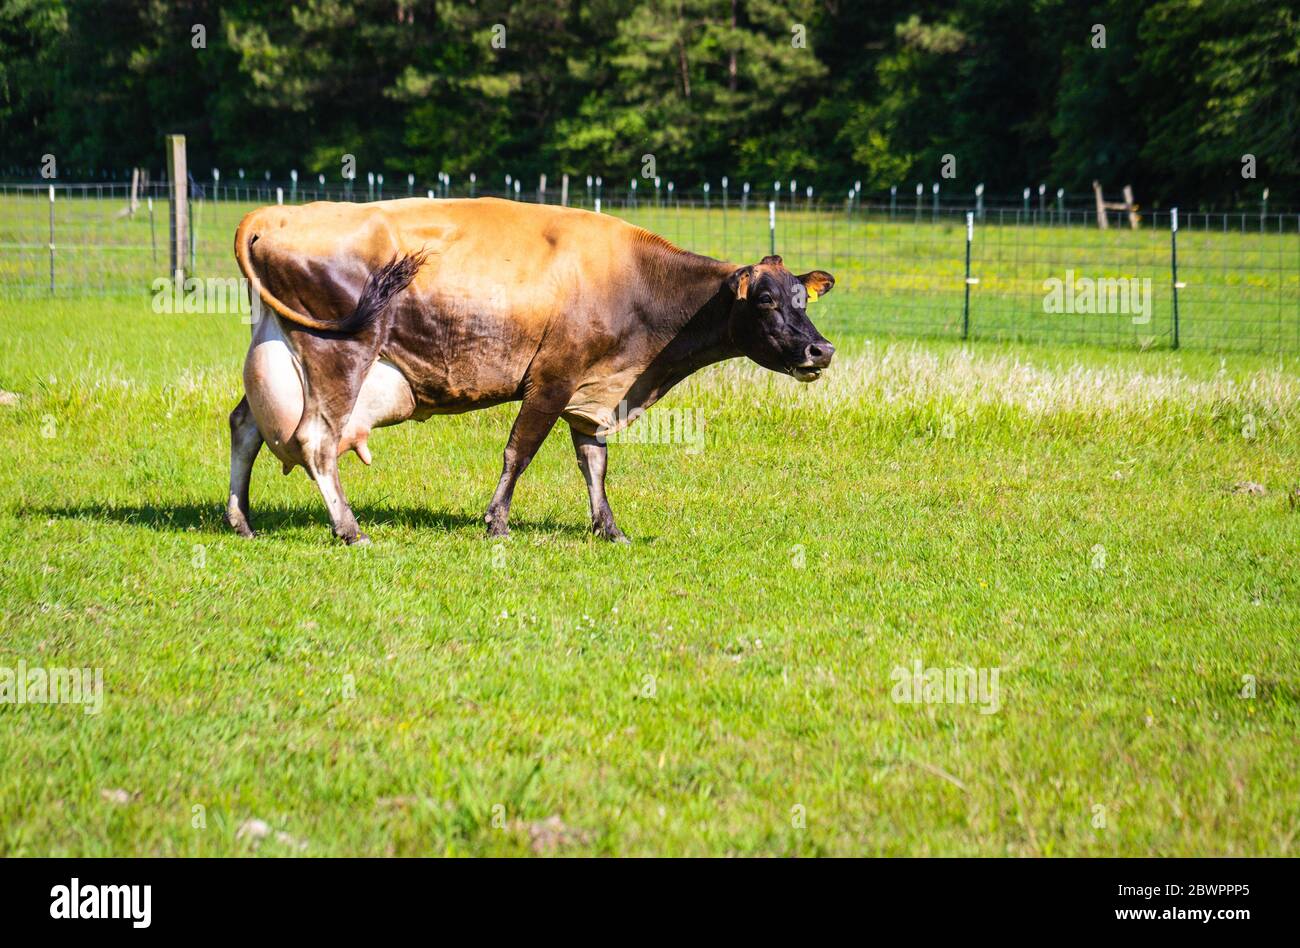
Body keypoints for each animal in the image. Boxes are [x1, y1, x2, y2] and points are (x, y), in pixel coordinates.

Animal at [226, 197, 835, 544]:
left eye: (802, 299)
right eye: (765, 301)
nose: (820, 351)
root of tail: (280, 212)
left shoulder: (594, 391)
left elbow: (595, 465)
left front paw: (609, 529)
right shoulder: (552, 379)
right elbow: (519, 452)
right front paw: (496, 523)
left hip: (279, 351)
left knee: (245, 427)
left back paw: (242, 521)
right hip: (339, 354)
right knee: (317, 441)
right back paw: (350, 530)